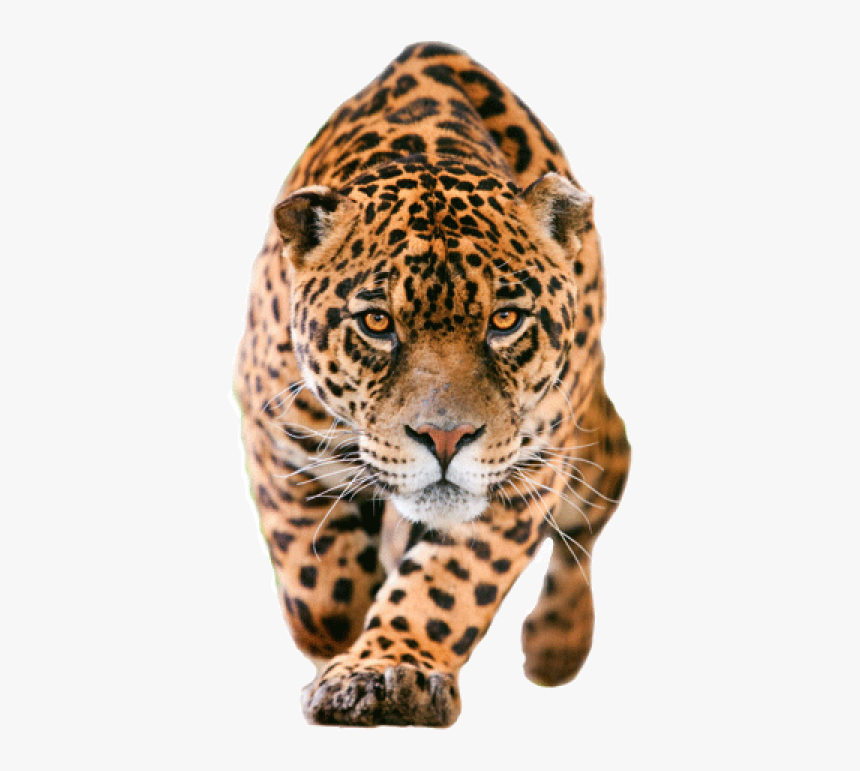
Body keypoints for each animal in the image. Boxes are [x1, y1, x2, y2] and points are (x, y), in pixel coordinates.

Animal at [234, 41, 631, 727]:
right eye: (377, 323)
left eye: (505, 320)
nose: (445, 439)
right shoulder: (276, 432)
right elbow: (320, 584)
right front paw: (344, 644)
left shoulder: (527, 468)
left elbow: (450, 583)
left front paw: (389, 670)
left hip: (595, 445)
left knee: (589, 521)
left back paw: (556, 645)